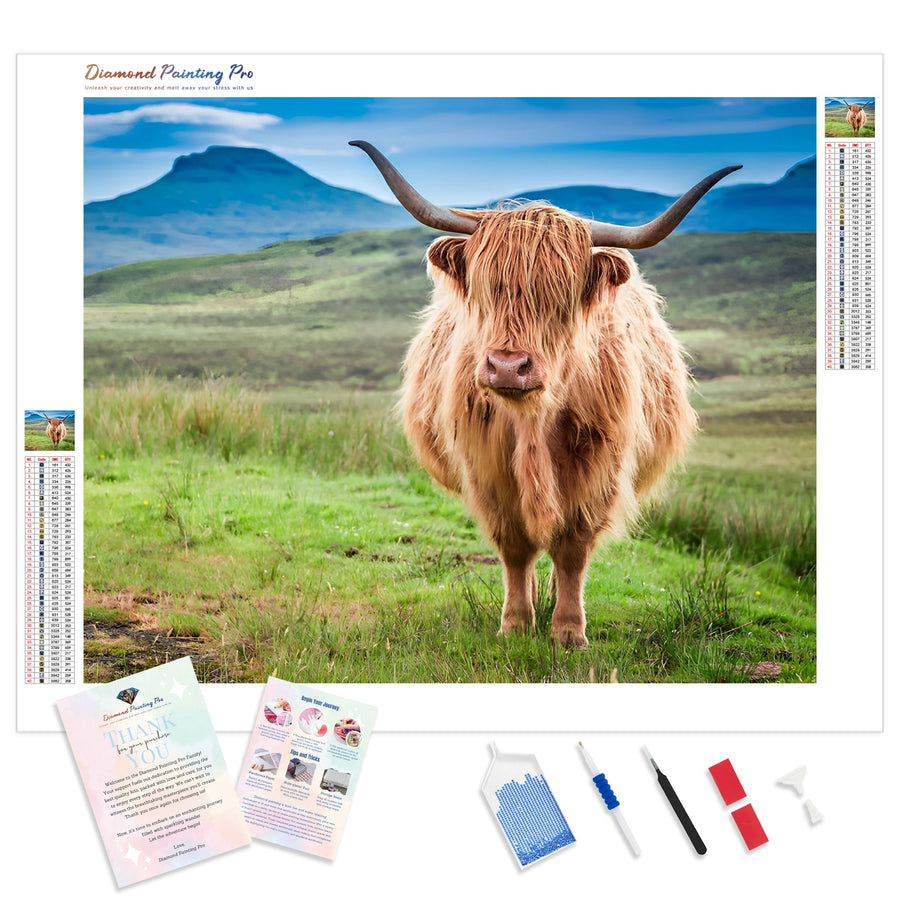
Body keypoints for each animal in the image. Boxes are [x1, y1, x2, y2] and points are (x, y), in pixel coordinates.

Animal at [350, 140, 740, 647]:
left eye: (560, 296)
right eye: (487, 289)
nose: (507, 367)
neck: (533, 420)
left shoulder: (598, 469)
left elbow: (573, 548)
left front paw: (569, 630)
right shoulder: (487, 470)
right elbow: (515, 548)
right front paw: (516, 622)